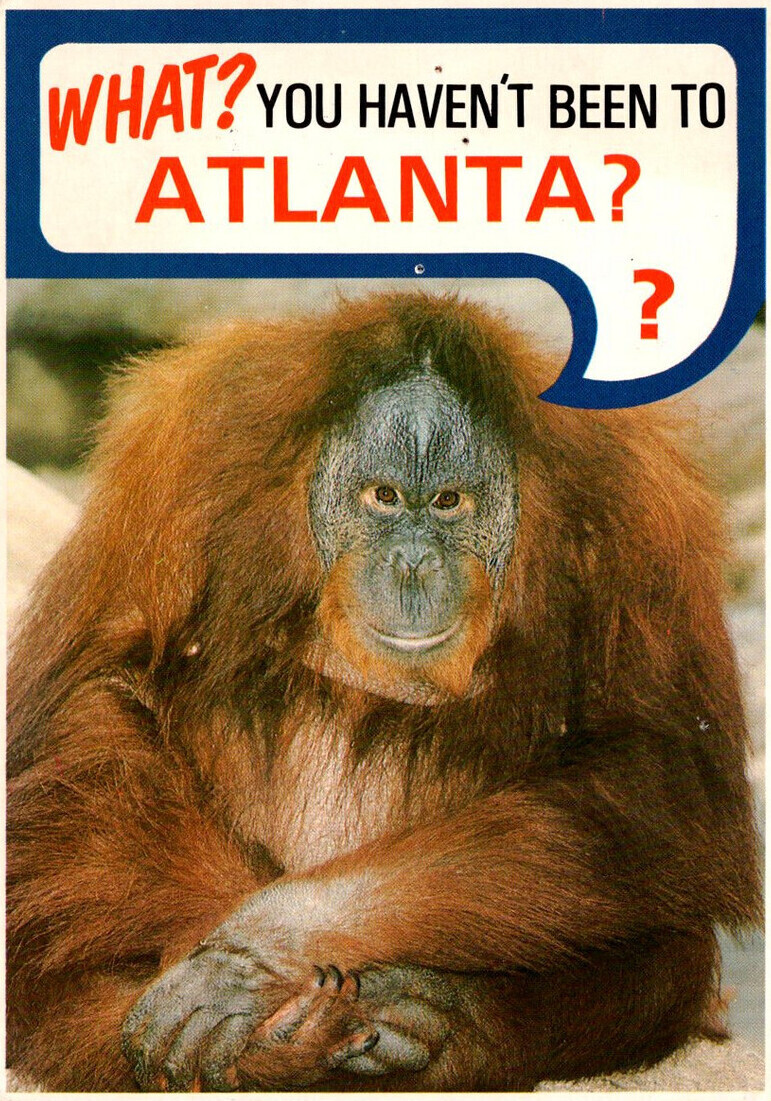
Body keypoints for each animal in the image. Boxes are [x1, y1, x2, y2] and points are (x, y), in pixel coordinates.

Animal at [7, 292, 761, 1091]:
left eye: (450, 502)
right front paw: (231, 964)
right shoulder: (180, 454)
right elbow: (96, 687)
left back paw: (435, 1017)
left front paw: (261, 948)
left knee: (667, 961)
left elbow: (655, 767)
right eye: (384, 497)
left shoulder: (643, 517)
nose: (412, 562)